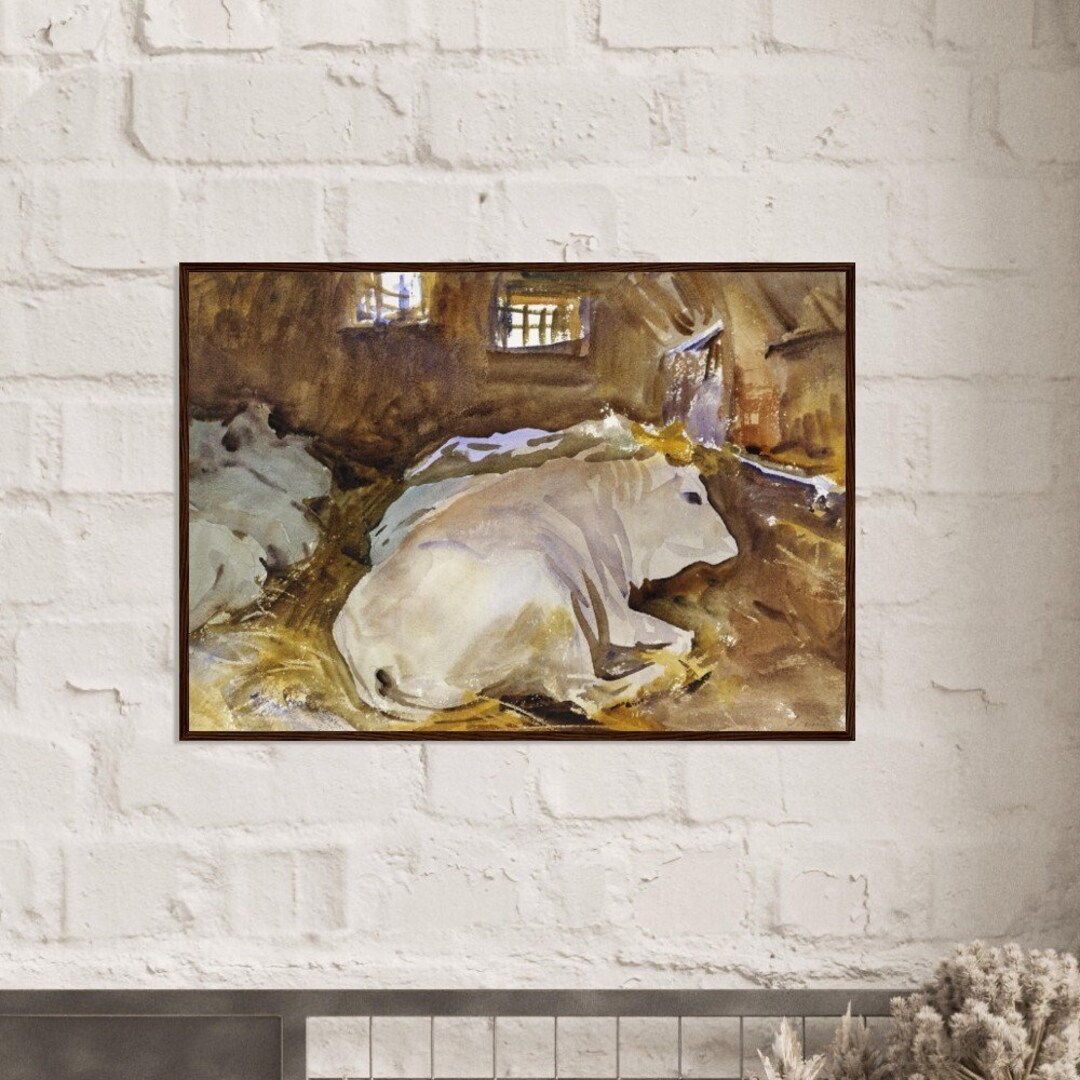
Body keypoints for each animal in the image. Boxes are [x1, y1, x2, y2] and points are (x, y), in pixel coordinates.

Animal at [332, 450, 738, 721]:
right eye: (693, 496)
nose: (734, 546)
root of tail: (371, 656)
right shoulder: (615, 610)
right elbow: (683, 636)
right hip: (552, 607)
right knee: (587, 692)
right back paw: (667, 672)